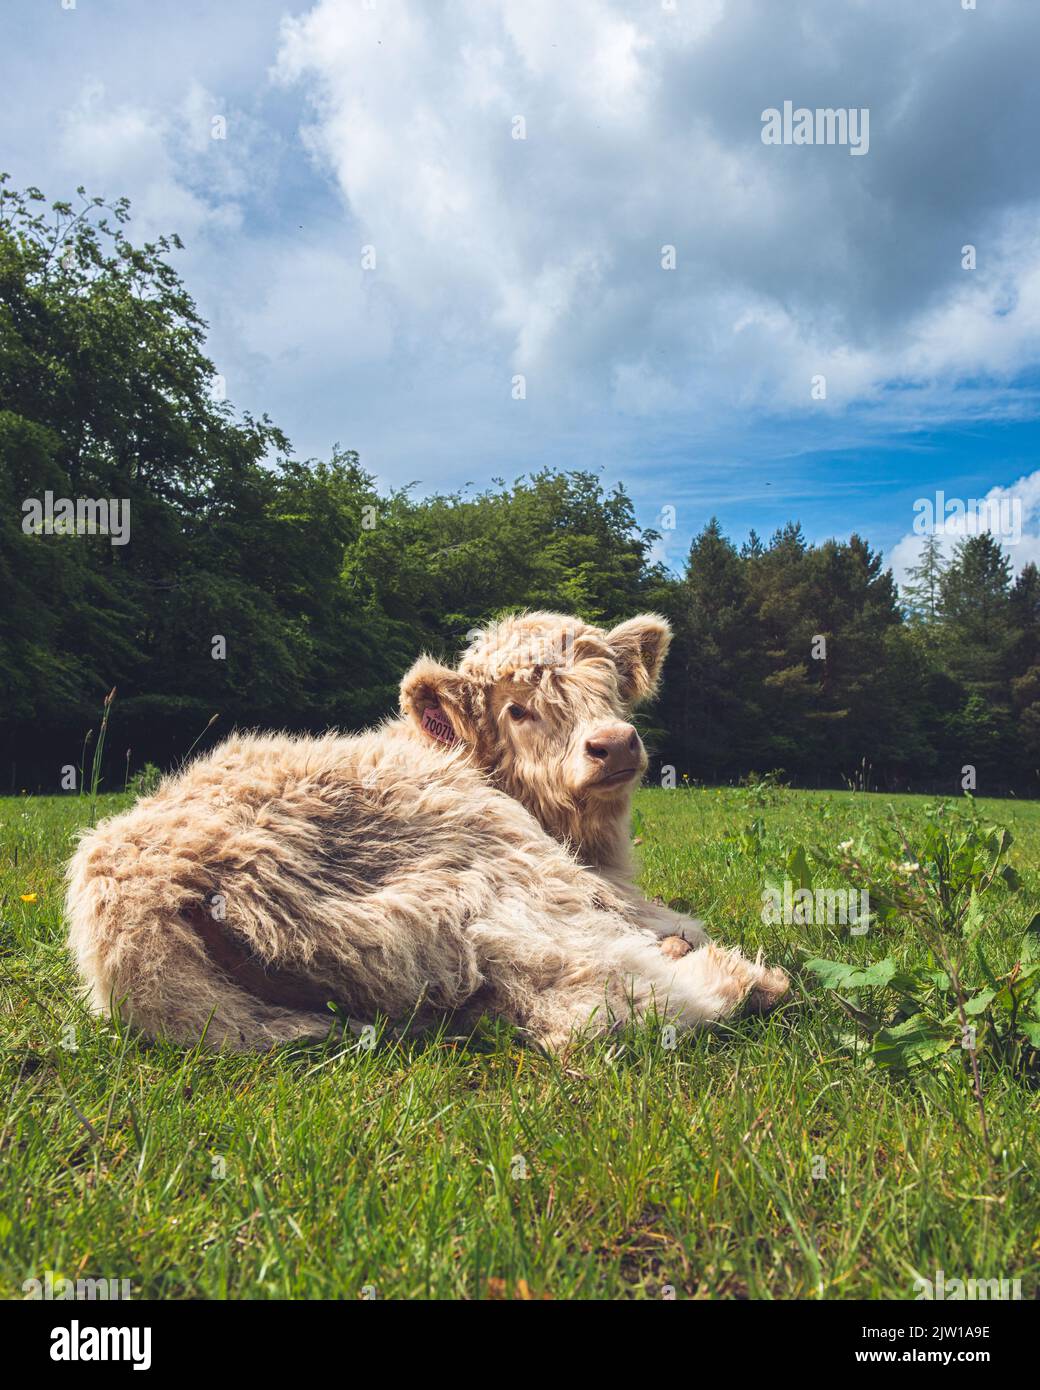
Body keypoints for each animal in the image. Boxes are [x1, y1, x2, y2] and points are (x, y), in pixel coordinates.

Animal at [65, 612, 789, 1052]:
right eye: (518, 710)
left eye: (611, 686)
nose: (614, 744)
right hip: (490, 865)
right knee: (591, 998)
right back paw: (745, 980)